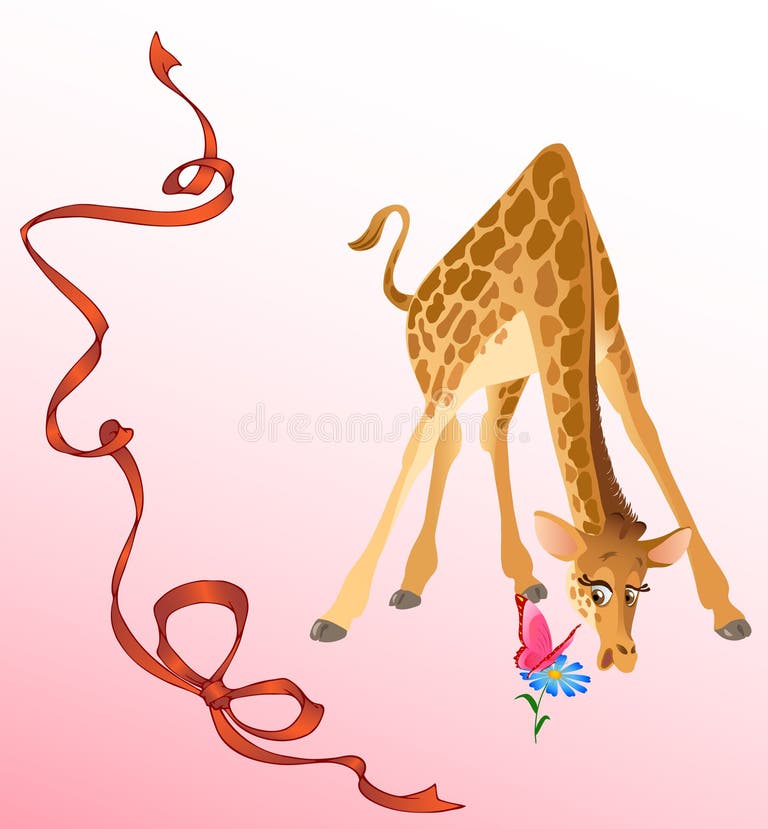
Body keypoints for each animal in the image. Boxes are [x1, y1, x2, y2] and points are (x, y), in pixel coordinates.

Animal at [308, 144, 751, 671]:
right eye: (593, 588)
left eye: (640, 588)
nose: (623, 655)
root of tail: (410, 299)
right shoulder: (490, 357)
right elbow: (412, 455)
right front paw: (334, 616)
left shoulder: (606, 344)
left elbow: (647, 436)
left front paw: (729, 613)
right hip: (437, 371)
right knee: (443, 441)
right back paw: (411, 584)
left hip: (505, 376)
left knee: (486, 435)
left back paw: (518, 577)